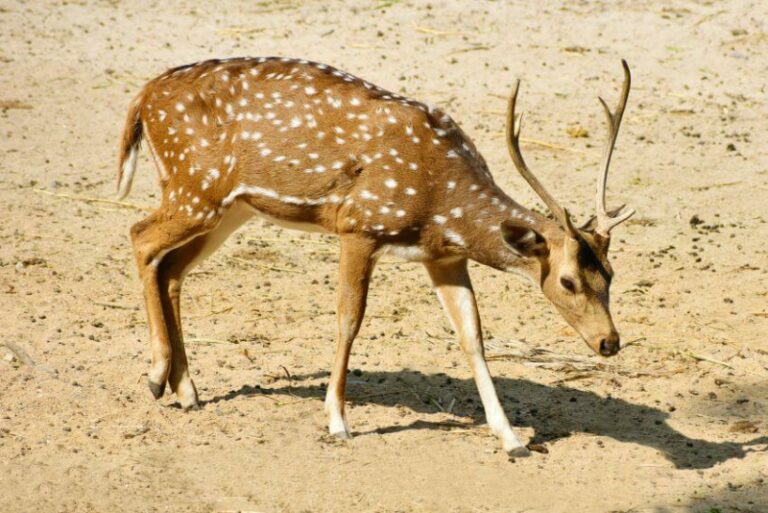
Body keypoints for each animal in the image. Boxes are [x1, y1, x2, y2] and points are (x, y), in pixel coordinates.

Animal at [116, 56, 634, 457]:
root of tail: (142, 97)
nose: (609, 342)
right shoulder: (359, 225)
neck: (441, 201)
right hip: (195, 188)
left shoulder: (443, 257)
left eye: (611, 274)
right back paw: (156, 376)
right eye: (567, 280)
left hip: (228, 207)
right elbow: (350, 318)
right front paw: (337, 421)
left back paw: (187, 390)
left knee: (172, 268)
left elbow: (473, 335)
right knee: (140, 236)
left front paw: (512, 439)